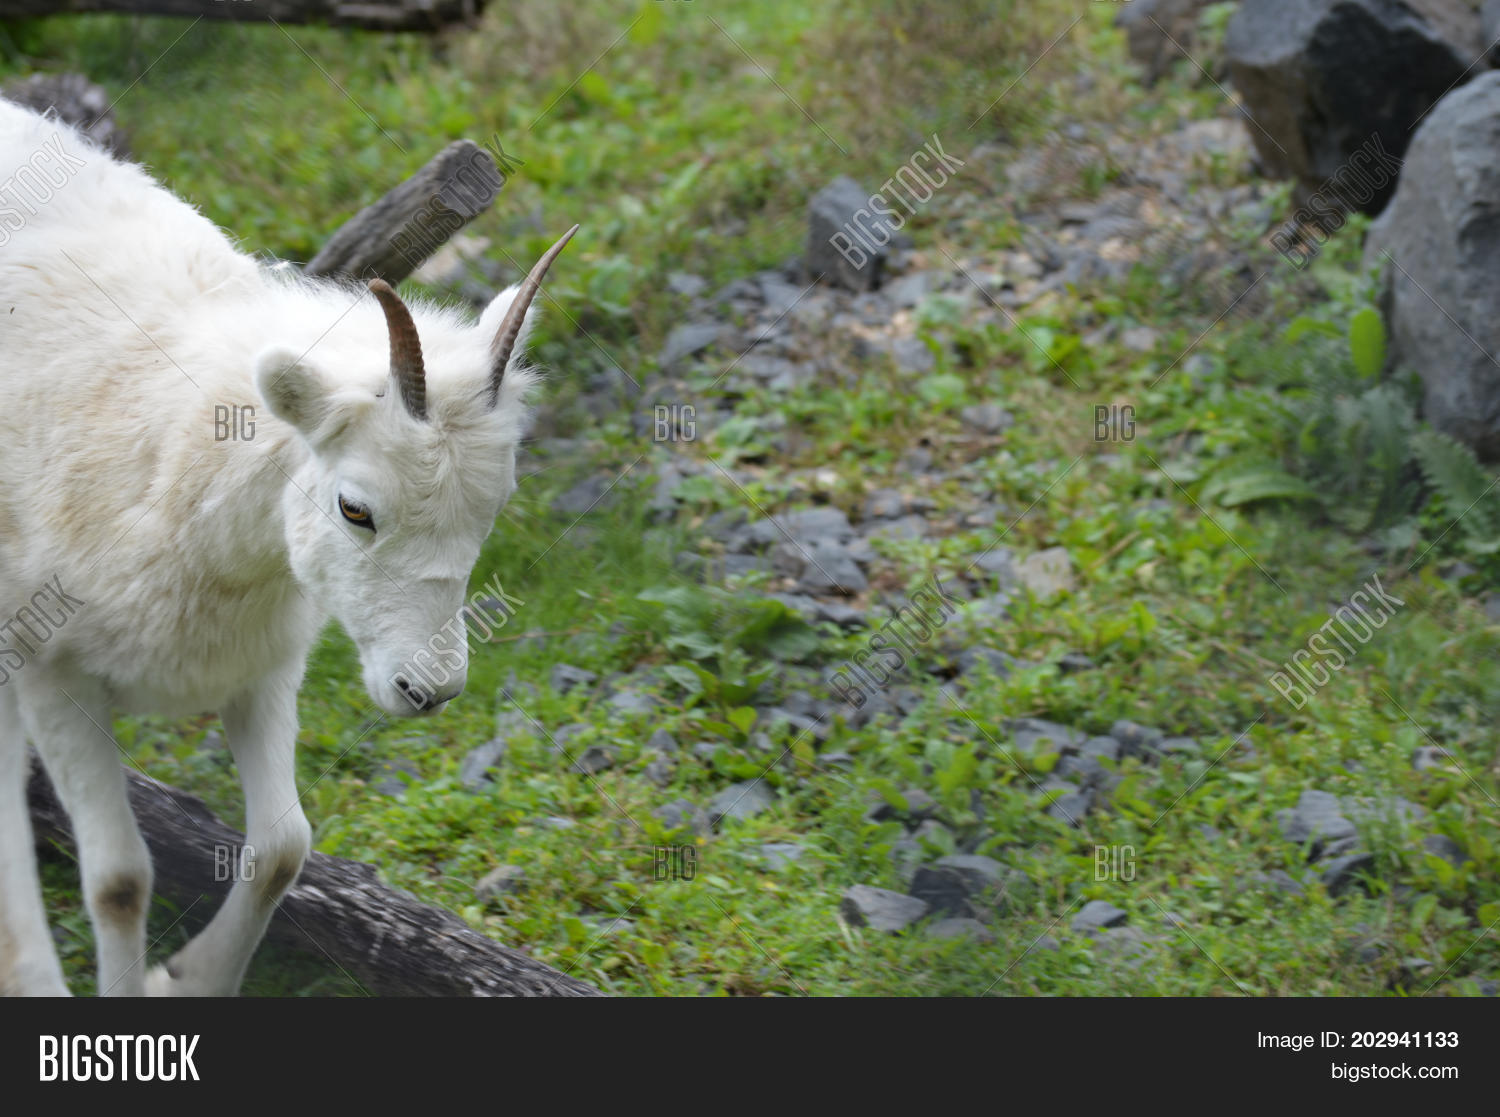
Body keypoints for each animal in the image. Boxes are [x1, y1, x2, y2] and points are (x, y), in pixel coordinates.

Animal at [0, 98, 576, 996]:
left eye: (493, 507)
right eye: (355, 508)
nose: (429, 688)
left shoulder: (262, 670)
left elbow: (281, 848)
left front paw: (188, 977)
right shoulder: (53, 672)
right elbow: (120, 880)